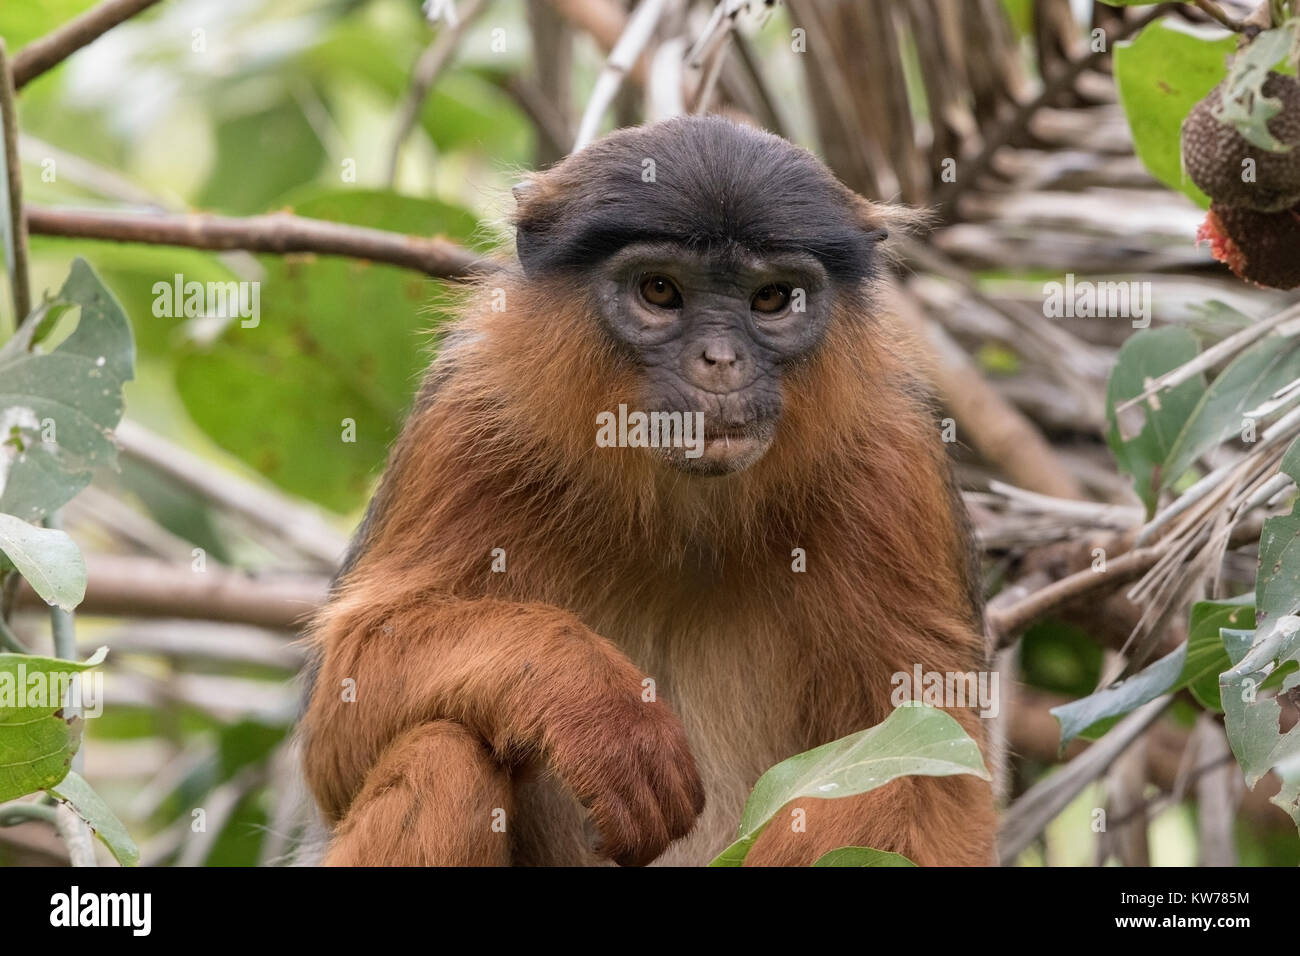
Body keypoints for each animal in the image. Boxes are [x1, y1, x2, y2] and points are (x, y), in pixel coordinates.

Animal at [299, 115, 997, 867]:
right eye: (660, 291)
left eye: (771, 298)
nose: (720, 361)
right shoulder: (467, 418)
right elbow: (337, 720)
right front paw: (593, 700)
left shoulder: (897, 462)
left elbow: (933, 773)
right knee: (442, 749)